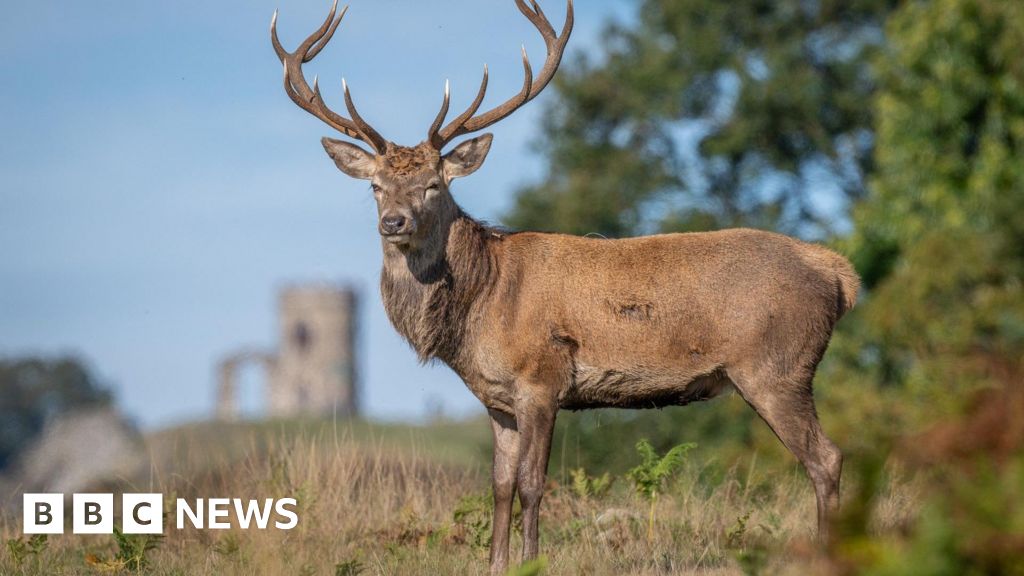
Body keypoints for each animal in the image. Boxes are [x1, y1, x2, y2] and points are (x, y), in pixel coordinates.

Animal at [271, 1, 860, 573]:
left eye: (433, 185)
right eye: (375, 186)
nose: (393, 222)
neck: (478, 308)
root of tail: (838, 273)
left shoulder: (542, 379)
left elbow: (533, 484)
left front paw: (532, 560)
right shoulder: (497, 399)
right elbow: (499, 486)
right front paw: (496, 565)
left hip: (777, 367)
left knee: (826, 457)